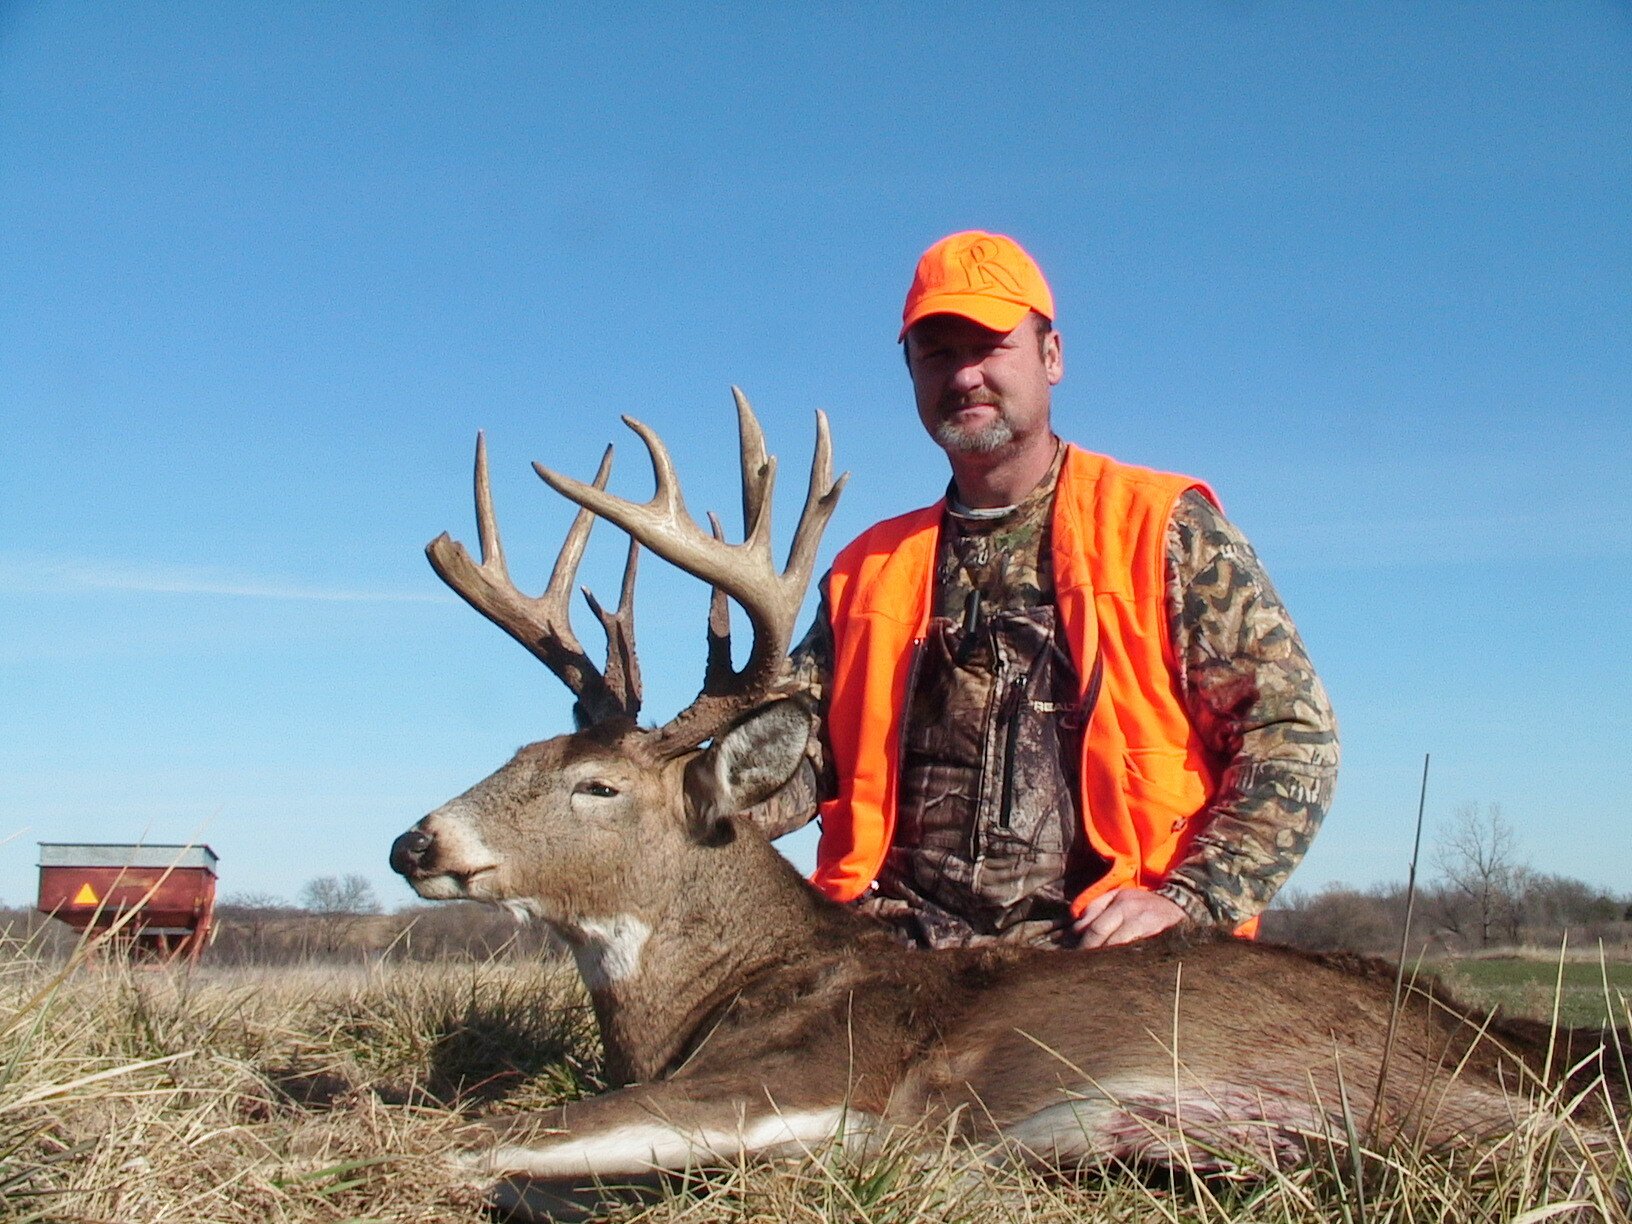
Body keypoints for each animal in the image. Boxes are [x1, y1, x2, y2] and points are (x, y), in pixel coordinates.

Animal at [392, 392, 1625, 1218]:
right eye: (515, 750)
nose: (415, 840)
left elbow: (488, 1134)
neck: (702, 1002)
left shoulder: (816, 1070)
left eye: (595, 785)